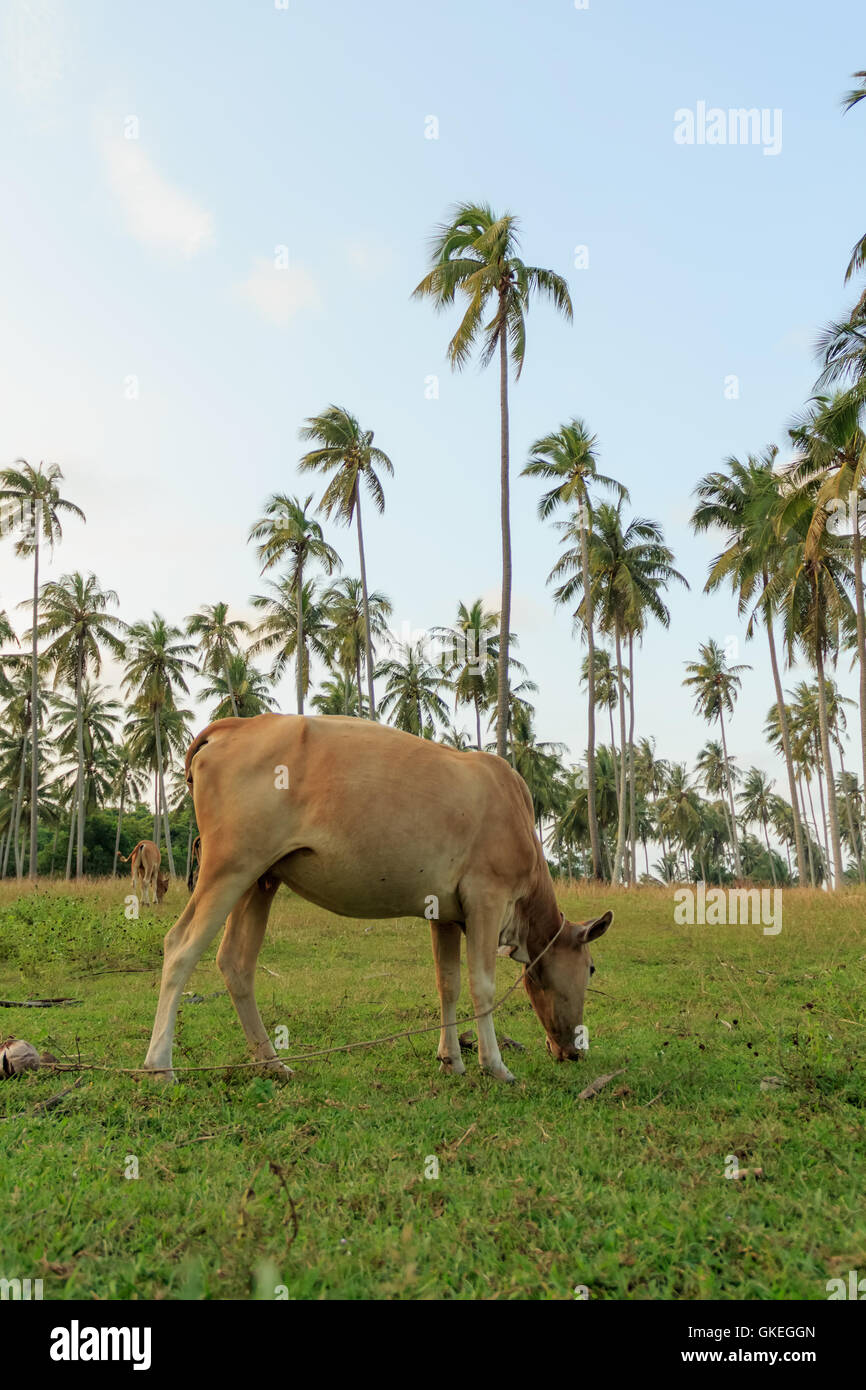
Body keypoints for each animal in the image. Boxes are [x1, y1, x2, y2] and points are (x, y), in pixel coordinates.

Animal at [142, 714, 612, 1084]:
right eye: (590, 968)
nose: (573, 1051)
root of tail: (235, 725)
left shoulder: (444, 913)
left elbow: (448, 983)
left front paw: (451, 1059)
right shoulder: (487, 897)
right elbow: (482, 985)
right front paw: (494, 1065)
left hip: (261, 878)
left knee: (236, 962)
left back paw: (272, 1063)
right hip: (230, 866)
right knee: (181, 947)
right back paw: (160, 1065)